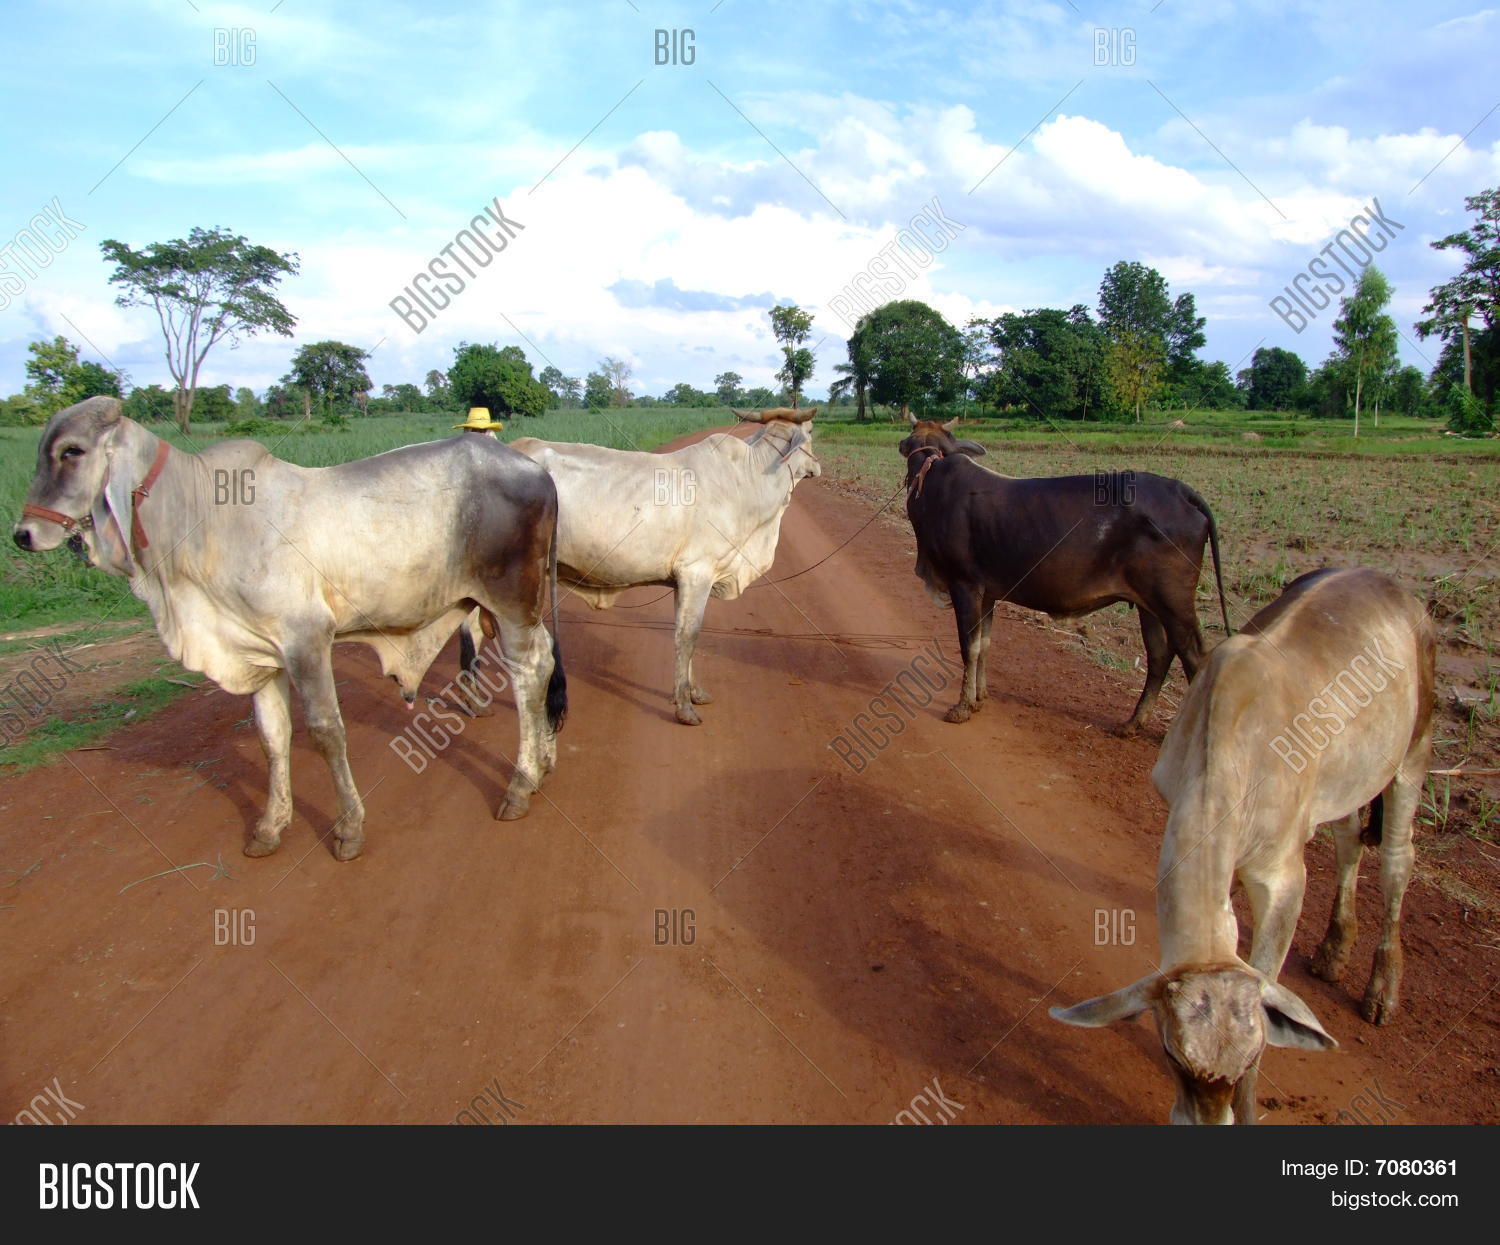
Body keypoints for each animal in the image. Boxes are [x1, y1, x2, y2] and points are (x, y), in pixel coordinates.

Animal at [12, 396, 567, 861]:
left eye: (71, 451)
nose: (22, 534)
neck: (198, 519)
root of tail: (538, 471)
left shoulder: (307, 642)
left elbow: (325, 732)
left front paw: (348, 829)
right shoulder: (261, 654)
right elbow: (271, 738)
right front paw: (270, 826)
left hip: (511, 603)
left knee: (530, 674)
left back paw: (520, 784)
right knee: (544, 663)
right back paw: (542, 764)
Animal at [463, 408, 820, 725]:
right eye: (811, 433)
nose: (817, 466)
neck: (747, 479)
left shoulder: (683, 582)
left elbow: (684, 634)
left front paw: (692, 692)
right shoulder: (697, 573)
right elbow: (689, 636)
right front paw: (685, 708)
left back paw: (475, 703)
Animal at [899, 415, 1229, 734]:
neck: (932, 477)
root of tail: (1180, 490)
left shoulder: (964, 585)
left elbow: (969, 647)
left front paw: (963, 707)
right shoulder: (988, 594)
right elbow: (985, 645)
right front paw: (979, 697)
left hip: (1174, 602)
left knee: (1195, 658)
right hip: (1150, 606)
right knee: (1159, 656)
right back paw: (1131, 724)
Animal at [1050, 567, 1435, 1124]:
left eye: (1251, 1056)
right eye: (1172, 1053)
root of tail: (1392, 587)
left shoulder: (1282, 874)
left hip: (1414, 752)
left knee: (1398, 860)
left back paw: (1383, 988)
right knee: (1348, 841)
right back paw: (1333, 949)